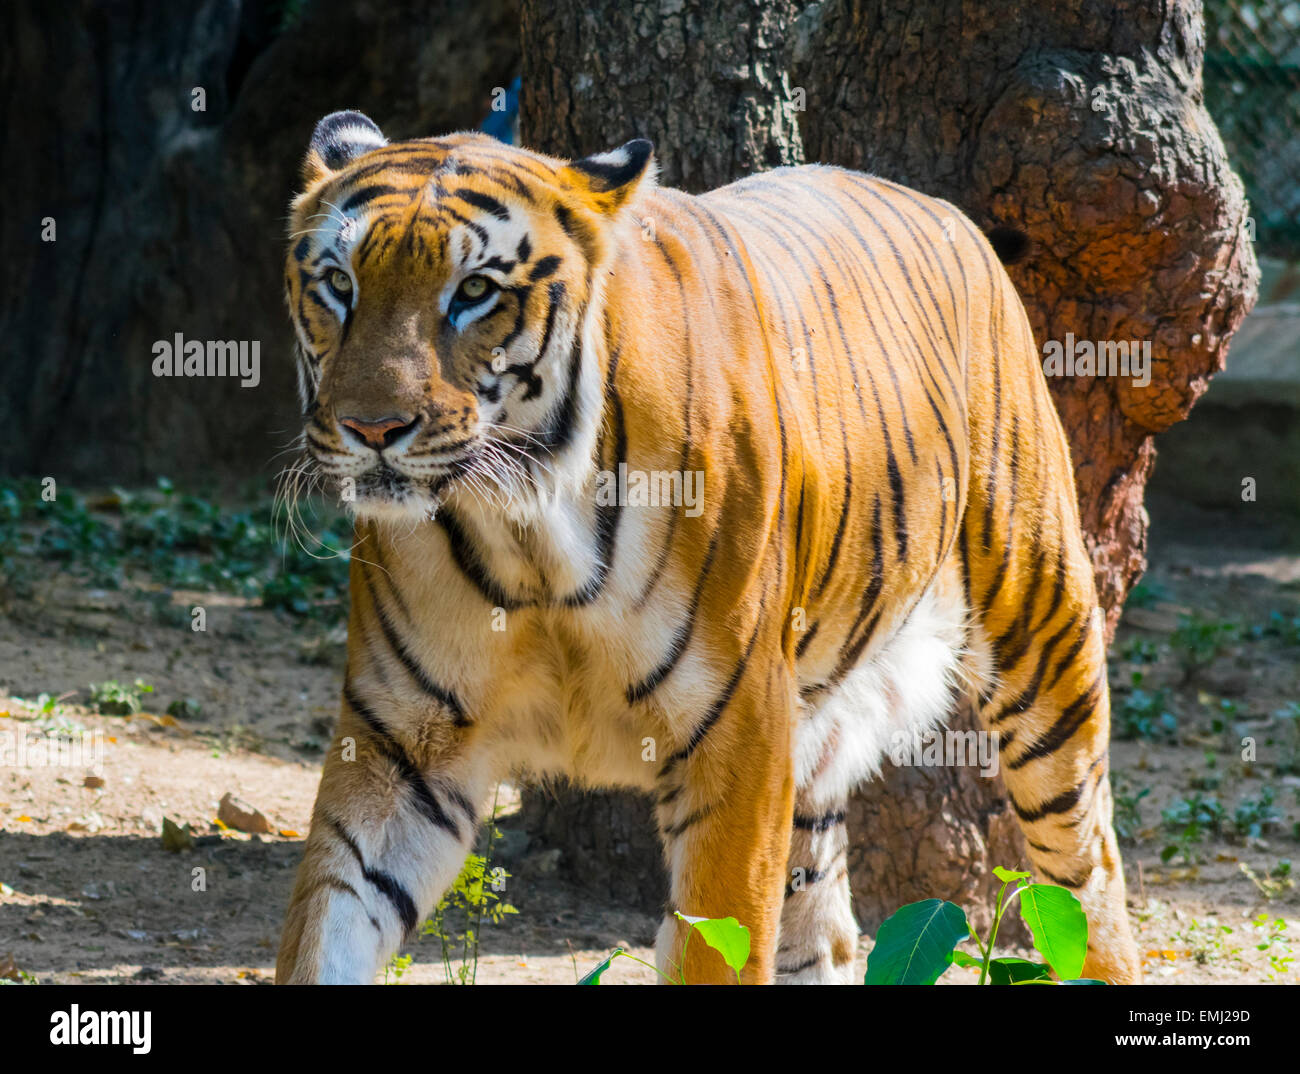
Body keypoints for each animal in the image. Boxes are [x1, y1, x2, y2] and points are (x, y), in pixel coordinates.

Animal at [274, 109, 1143, 985]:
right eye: (339, 285)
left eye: (475, 291)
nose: (371, 429)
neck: (527, 531)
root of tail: (942, 209)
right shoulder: (400, 743)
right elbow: (327, 926)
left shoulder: (740, 735)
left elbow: (718, 944)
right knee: (826, 928)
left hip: (1042, 629)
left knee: (1088, 870)